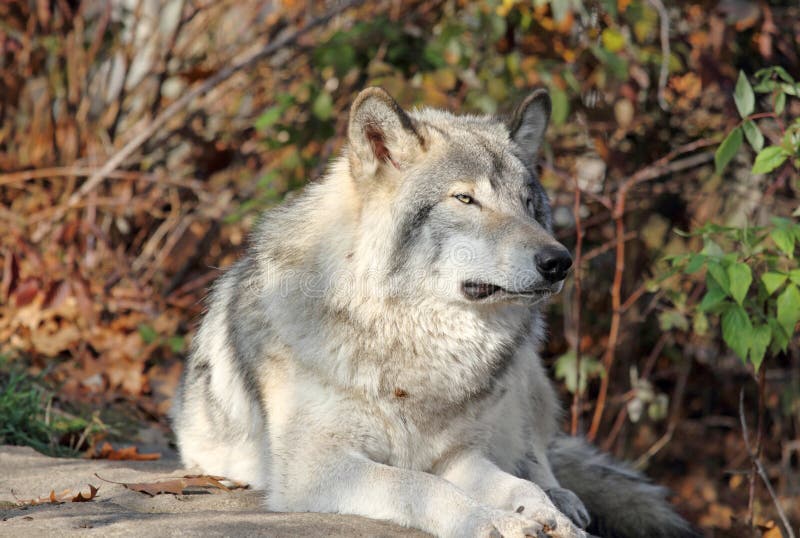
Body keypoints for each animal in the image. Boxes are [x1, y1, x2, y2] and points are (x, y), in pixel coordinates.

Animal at [171, 87, 694, 538]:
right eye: (465, 198)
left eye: (529, 205)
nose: (559, 261)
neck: (407, 340)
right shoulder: (317, 467)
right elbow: (420, 485)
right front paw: (487, 522)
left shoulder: (458, 454)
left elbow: (516, 485)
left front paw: (545, 515)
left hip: (523, 379)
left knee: (537, 458)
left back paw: (564, 501)